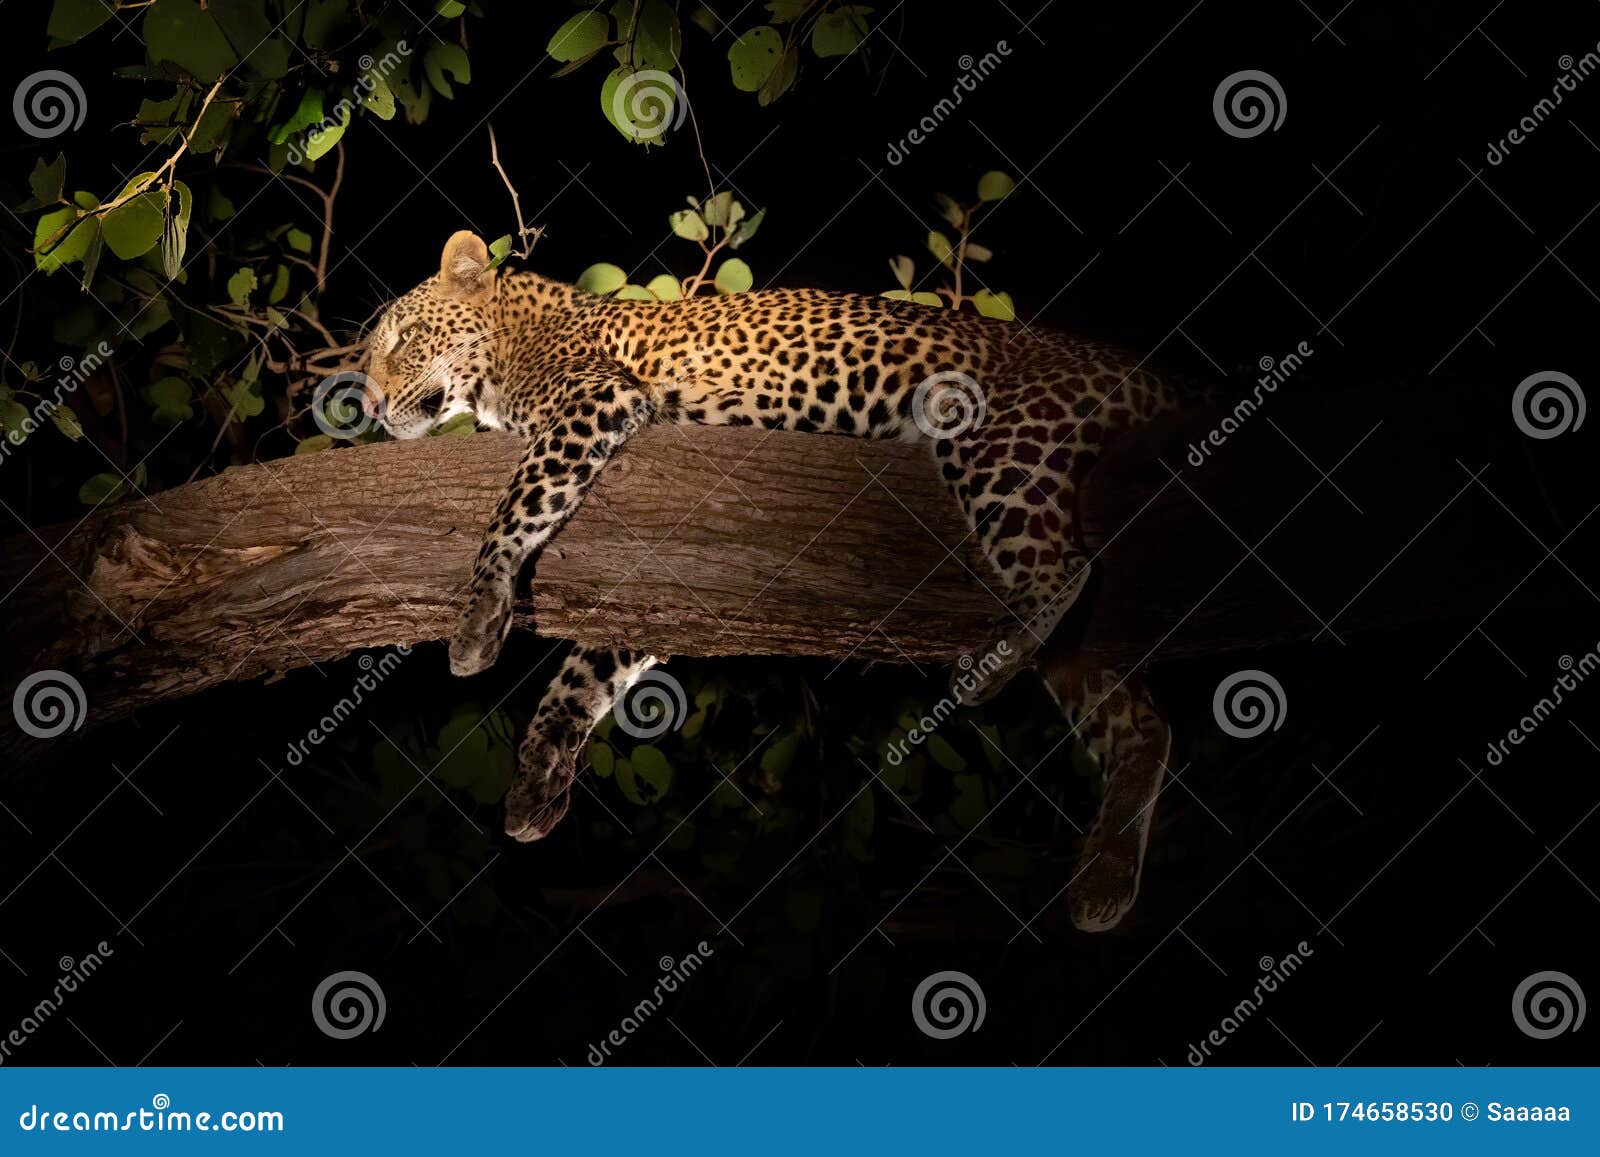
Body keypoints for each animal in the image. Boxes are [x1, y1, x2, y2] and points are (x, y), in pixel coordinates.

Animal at [361, 229, 1195, 932]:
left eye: (400, 339)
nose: (365, 402)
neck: (512, 339)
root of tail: (1147, 373)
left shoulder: (592, 397)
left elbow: (518, 502)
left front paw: (479, 612)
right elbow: (590, 668)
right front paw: (540, 772)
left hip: (998, 433)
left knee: (1066, 569)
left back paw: (994, 659)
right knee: (1146, 722)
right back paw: (1106, 876)